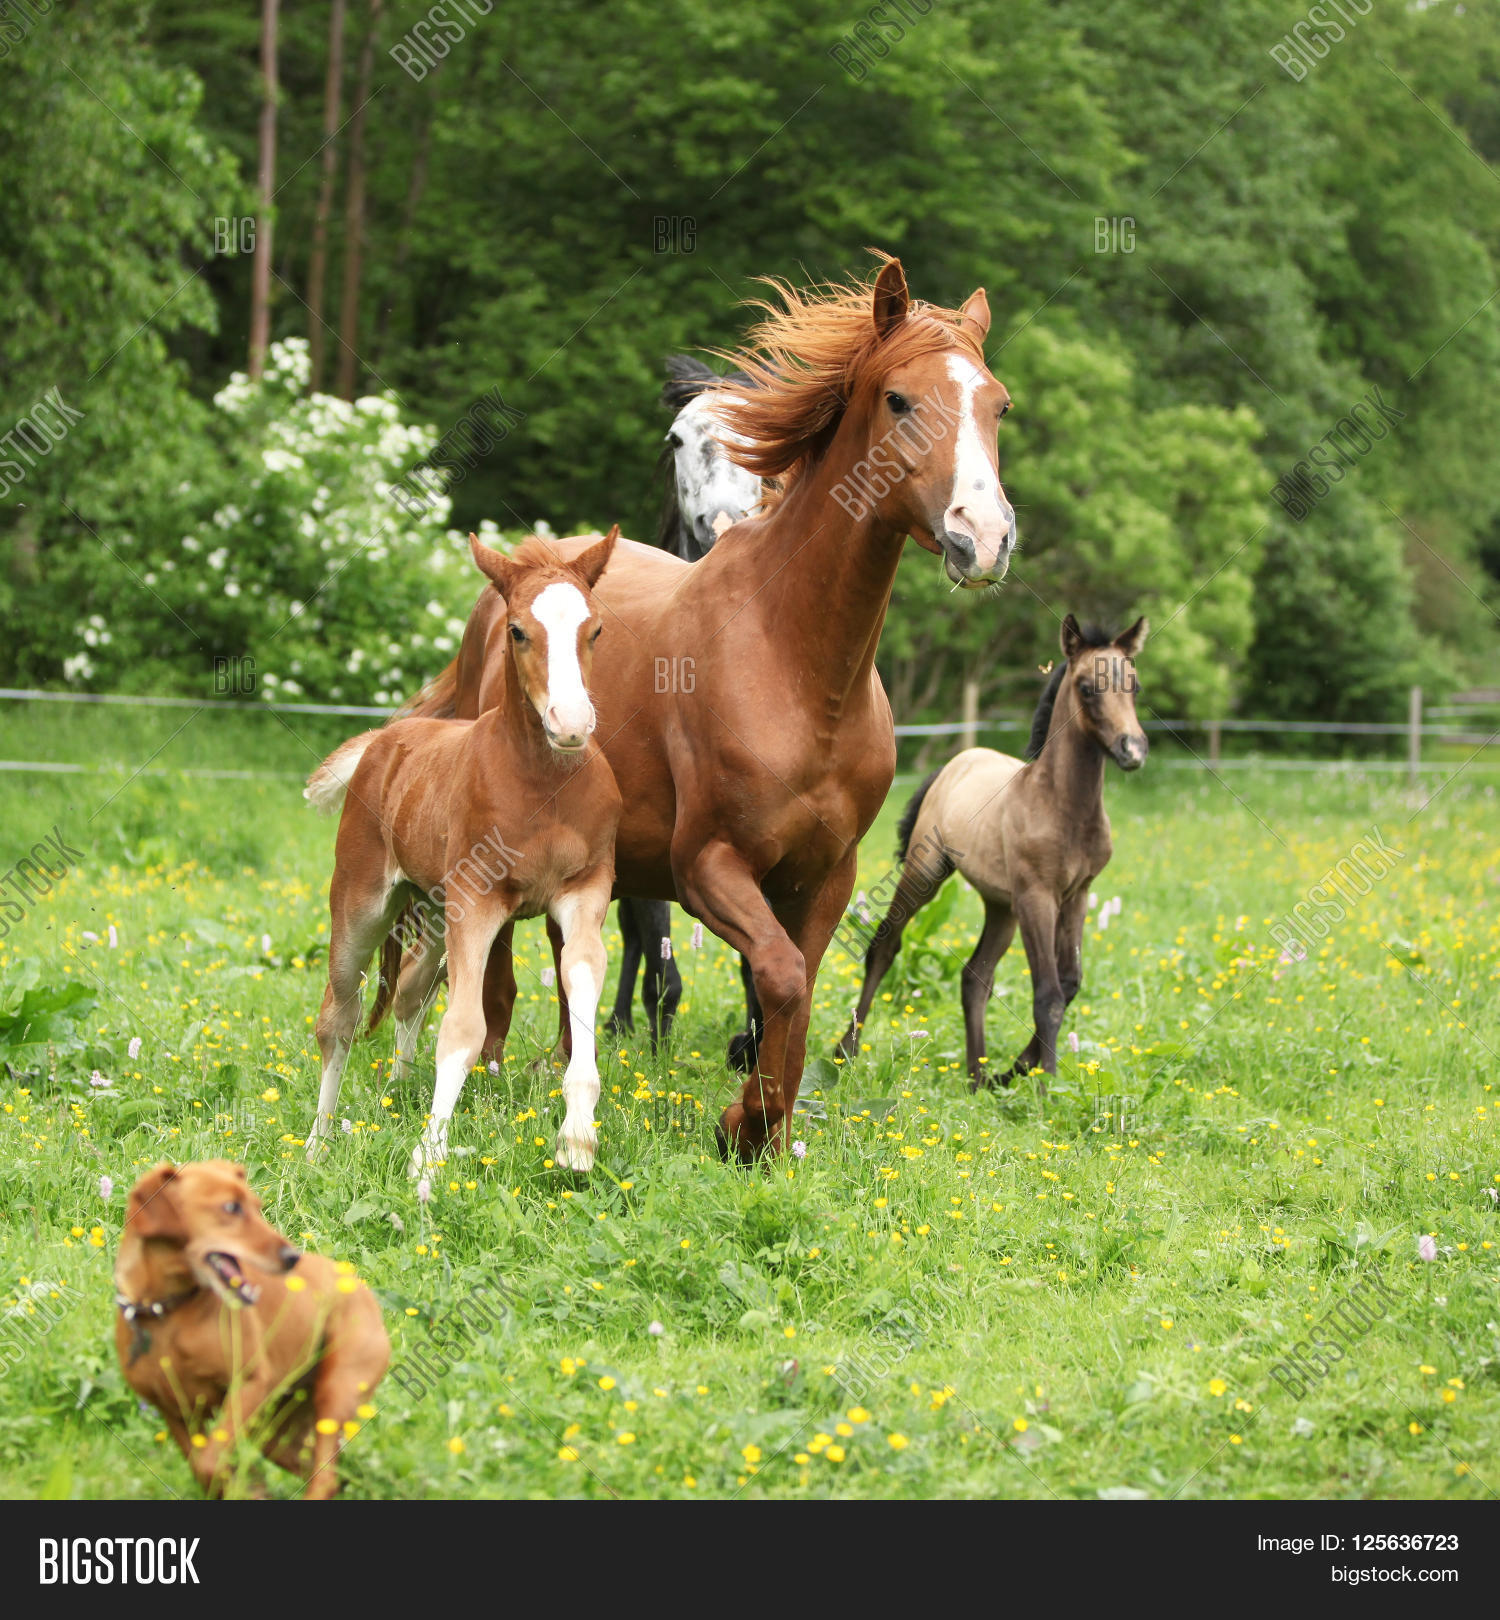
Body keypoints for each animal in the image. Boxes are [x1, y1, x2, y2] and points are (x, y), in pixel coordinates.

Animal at [305, 529, 621, 1174]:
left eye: (595, 629)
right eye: (518, 630)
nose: (571, 722)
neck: (543, 786)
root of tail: (384, 740)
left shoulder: (584, 894)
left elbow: (579, 989)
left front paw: (577, 1138)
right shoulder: (477, 905)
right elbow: (463, 1028)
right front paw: (428, 1161)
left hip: (430, 911)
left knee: (407, 995)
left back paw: (398, 1091)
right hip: (362, 903)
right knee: (339, 1017)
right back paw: (319, 1141)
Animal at [389, 253, 1016, 1159]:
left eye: (999, 404)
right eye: (899, 400)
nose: (984, 536)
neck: (798, 665)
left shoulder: (825, 874)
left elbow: (796, 986)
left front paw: (769, 1133)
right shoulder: (708, 864)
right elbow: (780, 977)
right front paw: (741, 1125)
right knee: (502, 964)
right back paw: (502, 1073)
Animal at [835, 614, 1148, 1092]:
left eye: (1134, 685)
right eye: (1086, 687)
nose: (1132, 750)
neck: (1061, 806)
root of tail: (955, 762)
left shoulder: (1076, 896)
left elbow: (1070, 983)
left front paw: (1018, 1068)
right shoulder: (1037, 896)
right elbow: (1049, 993)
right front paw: (1046, 1084)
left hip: (1002, 905)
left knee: (976, 976)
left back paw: (977, 1074)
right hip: (927, 873)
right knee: (885, 945)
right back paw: (847, 1050)